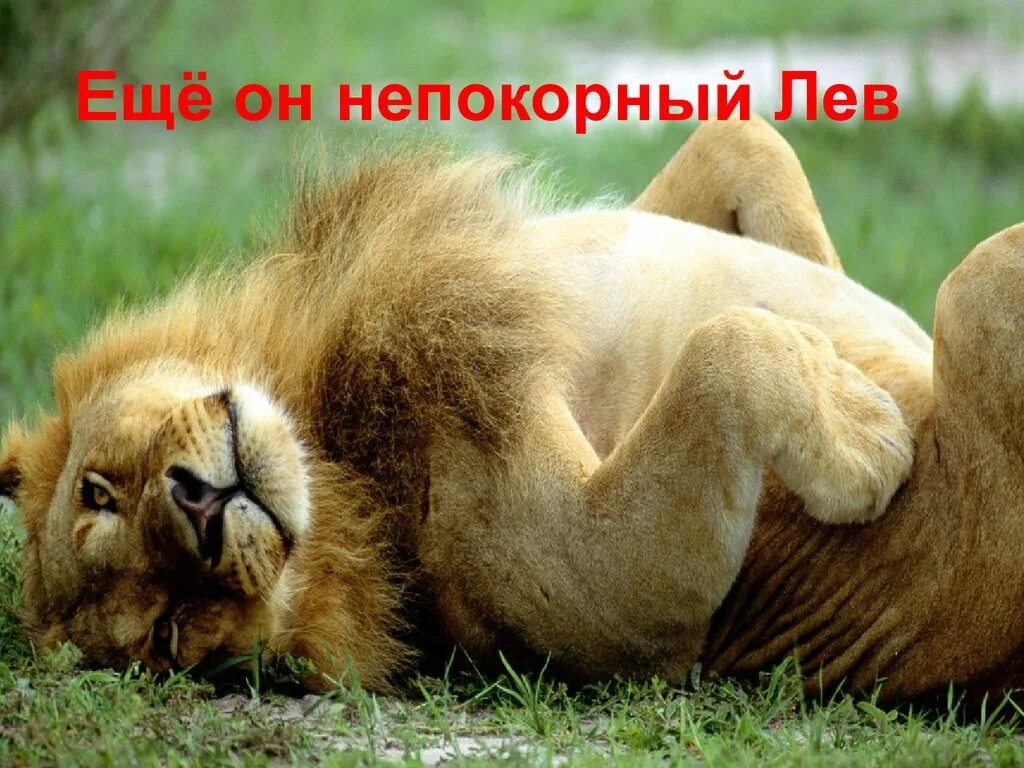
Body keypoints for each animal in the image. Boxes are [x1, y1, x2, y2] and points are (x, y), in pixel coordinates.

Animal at [0, 116, 1017, 704]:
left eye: (99, 491)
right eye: (170, 631)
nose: (200, 511)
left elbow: (744, 137)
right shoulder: (603, 586)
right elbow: (722, 351)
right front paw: (865, 439)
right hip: (979, 293)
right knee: (968, 280)